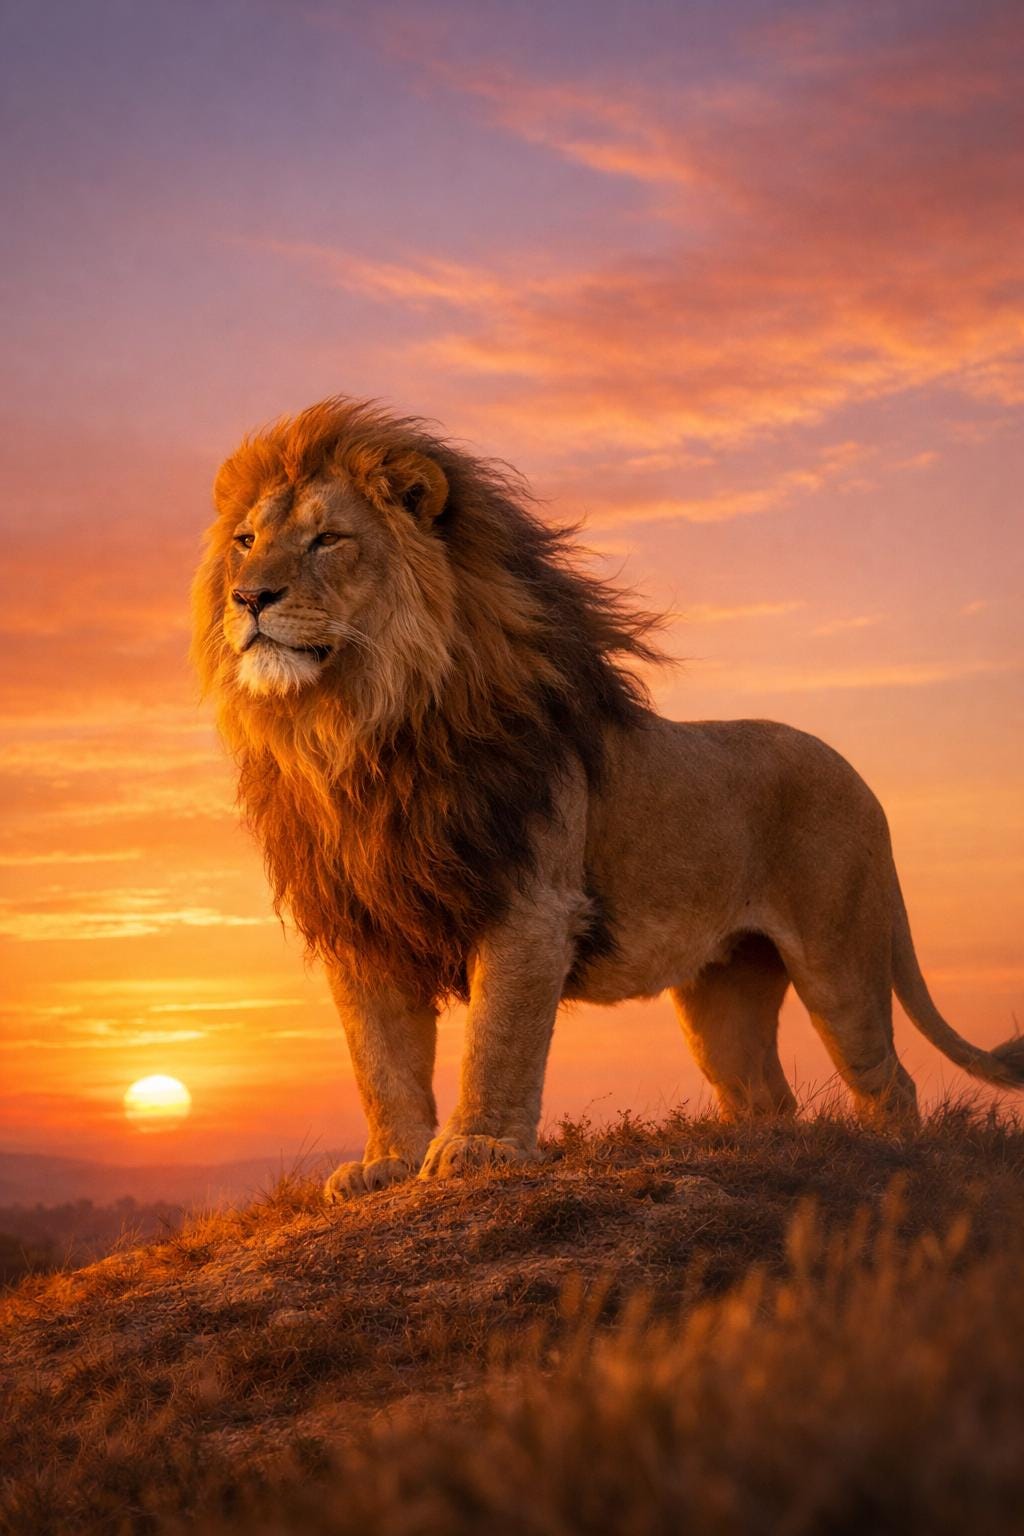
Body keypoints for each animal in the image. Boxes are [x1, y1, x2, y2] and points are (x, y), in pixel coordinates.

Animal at [191, 397, 1024, 1201]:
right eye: (245, 540)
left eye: (328, 539)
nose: (248, 596)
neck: (358, 733)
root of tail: (862, 780)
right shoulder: (363, 921)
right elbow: (378, 1059)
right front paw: (388, 1163)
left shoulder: (532, 905)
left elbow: (496, 1038)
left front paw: (477, 1147)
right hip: (725, 990)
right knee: (766, 1097)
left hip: (839, 958)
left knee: (892, 1084)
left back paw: (898, 1163)